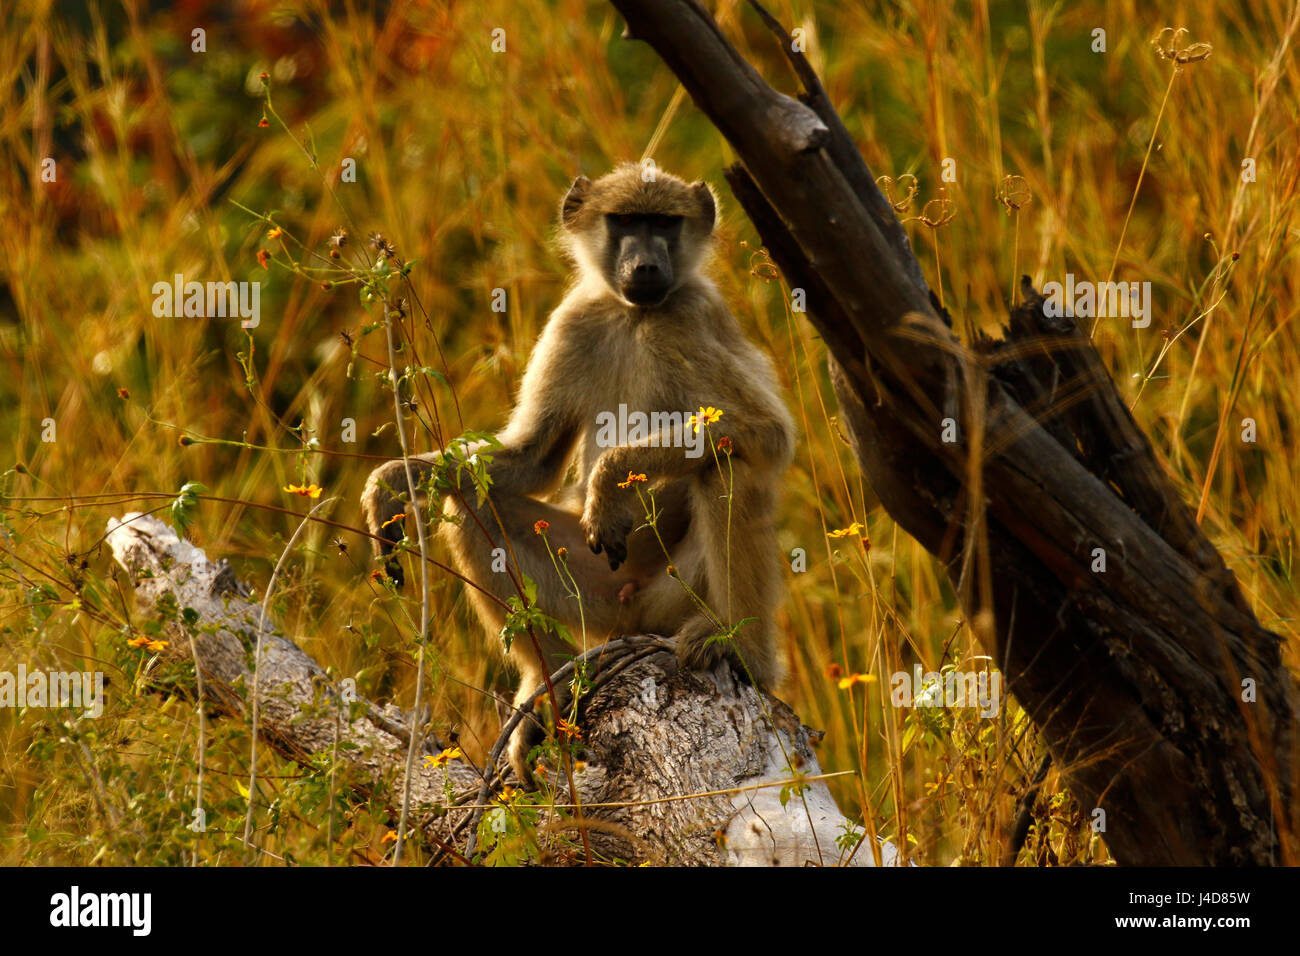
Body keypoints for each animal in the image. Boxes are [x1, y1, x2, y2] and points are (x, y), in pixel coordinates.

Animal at [362, 163, 796, 783]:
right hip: (597, 597)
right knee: (473, 503)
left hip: (673, 598)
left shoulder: (693, 315)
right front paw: (392, 485)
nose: (645, 267)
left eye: (664, 223)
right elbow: (531, 460)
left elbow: (766, 433)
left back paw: (743, 649)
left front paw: (609, 483)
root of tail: (632, 615)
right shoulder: (574, 319)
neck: (636, 315)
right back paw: (547, 689)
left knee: (726, 464)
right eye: (625, 221)